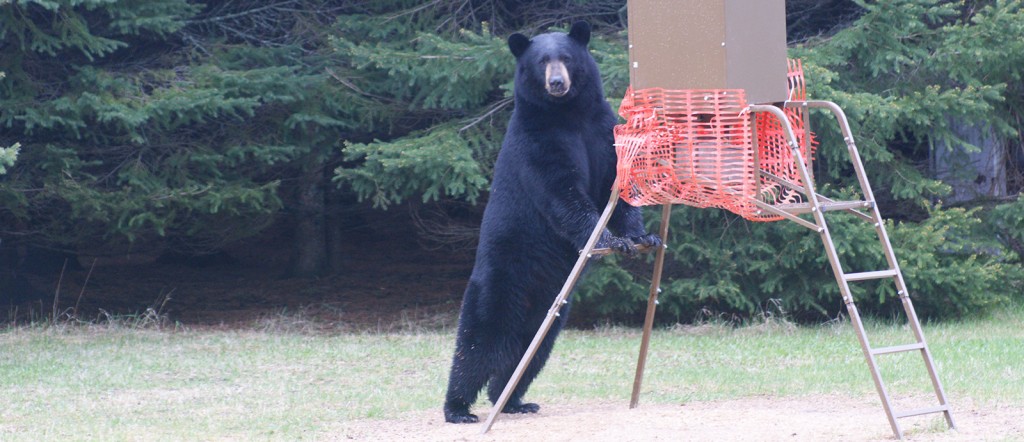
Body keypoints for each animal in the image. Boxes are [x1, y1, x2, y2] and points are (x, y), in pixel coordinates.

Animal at [443, 21, 662, 424]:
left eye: (566, 57)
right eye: (541, 61)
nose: (557, 82)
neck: (568, 115)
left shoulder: (602, 130)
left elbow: (620, 185)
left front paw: (642, 237)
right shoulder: (537, 141)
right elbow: (562, 192)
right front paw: (608, 240)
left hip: (552, 311)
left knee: (528, 353)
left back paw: (513, 400)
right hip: (498, 283)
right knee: (478, 344)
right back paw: (459, 408)